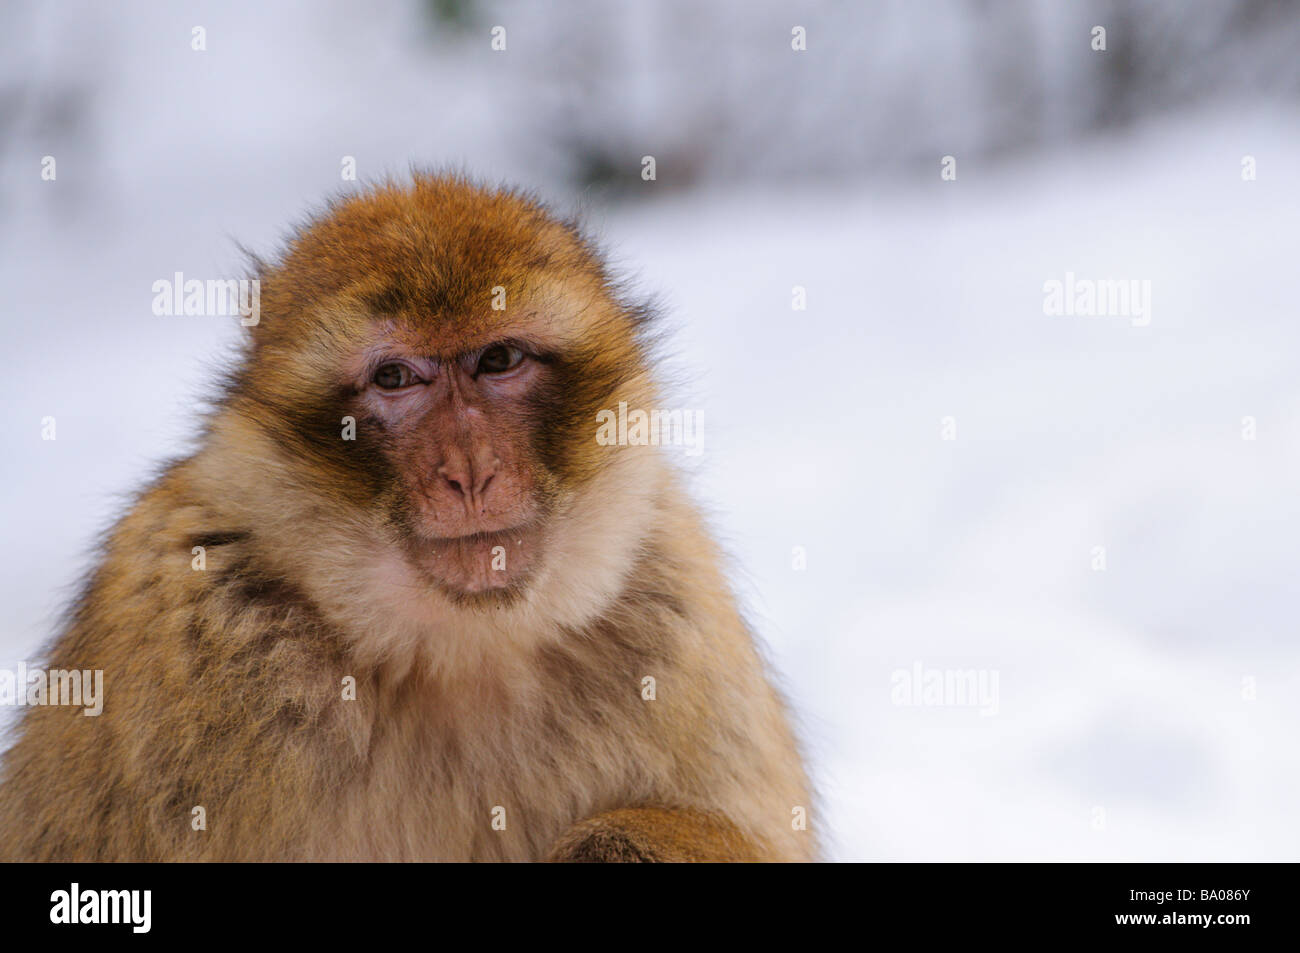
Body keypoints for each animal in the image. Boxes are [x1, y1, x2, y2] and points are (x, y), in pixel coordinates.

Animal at [0, 173, 816, 862]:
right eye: (395, 377)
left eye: (499, 359)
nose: (470, 471)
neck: (458, 649)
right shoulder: (182, 627)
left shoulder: (677, 611)